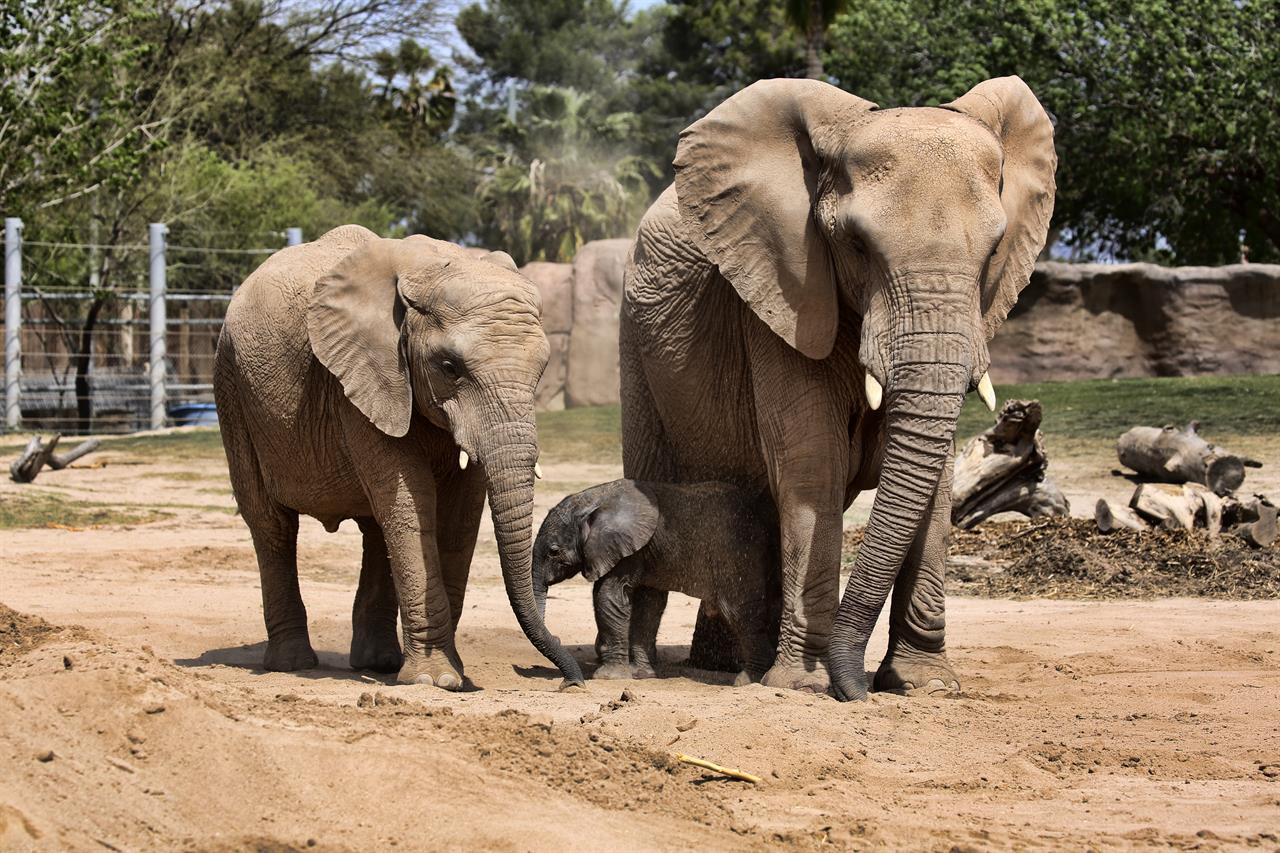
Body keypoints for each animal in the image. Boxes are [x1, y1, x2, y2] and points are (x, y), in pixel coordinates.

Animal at [213, 224, 583, 690]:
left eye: (543, 368)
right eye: (449, 367)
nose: (571, 681)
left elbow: (460, 514)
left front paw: (450, 673)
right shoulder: (358, 379)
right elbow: (412, 501)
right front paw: (436, 680)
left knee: (376, 527)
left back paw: (379, 664)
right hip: (231, 386)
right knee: (271, 524)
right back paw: (292, 664)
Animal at [532, 479, 781, 683]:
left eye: (554, 551)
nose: (557, 637)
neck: (591, 499)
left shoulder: (626, 548)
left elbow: (609, 596)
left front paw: (609, 677)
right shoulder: (643, 552)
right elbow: (648, 605)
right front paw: (640, 675)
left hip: (737, 550)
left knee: (739, 610)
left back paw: (749, 679)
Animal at [619, 76, 1056, 700]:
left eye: (994, 250)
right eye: (855, 245)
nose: (858, 690)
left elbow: (937, 484)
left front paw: (924, 685)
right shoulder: (786, 291)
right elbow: (812, 464)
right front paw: (804, 685)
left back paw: (727, 667)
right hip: (635, 342)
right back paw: (664, 671)